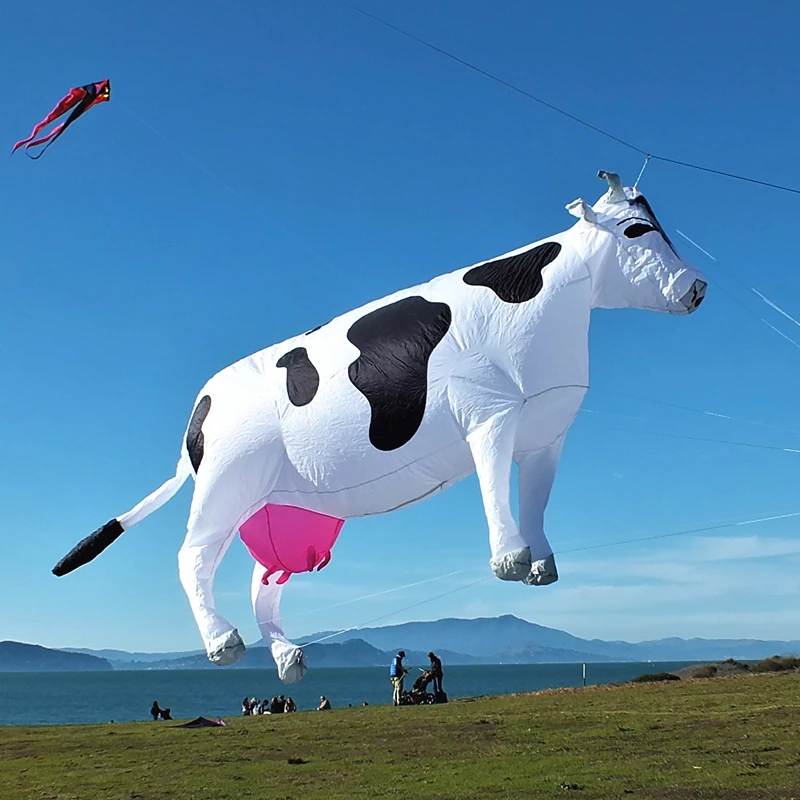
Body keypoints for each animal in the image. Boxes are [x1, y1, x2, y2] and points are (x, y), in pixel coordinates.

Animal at [53, 171, 707, 682]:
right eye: (635, 230)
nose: (697, 285)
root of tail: (198, 409)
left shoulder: (548, 430)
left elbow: (536, 500)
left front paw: (542, 566)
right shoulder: (488, 413)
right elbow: (495, 487)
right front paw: (511, 560)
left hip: (288, 514)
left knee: (264, 580)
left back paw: (289, 658)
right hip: (225, 483)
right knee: (191, 556)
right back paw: (223, 643)